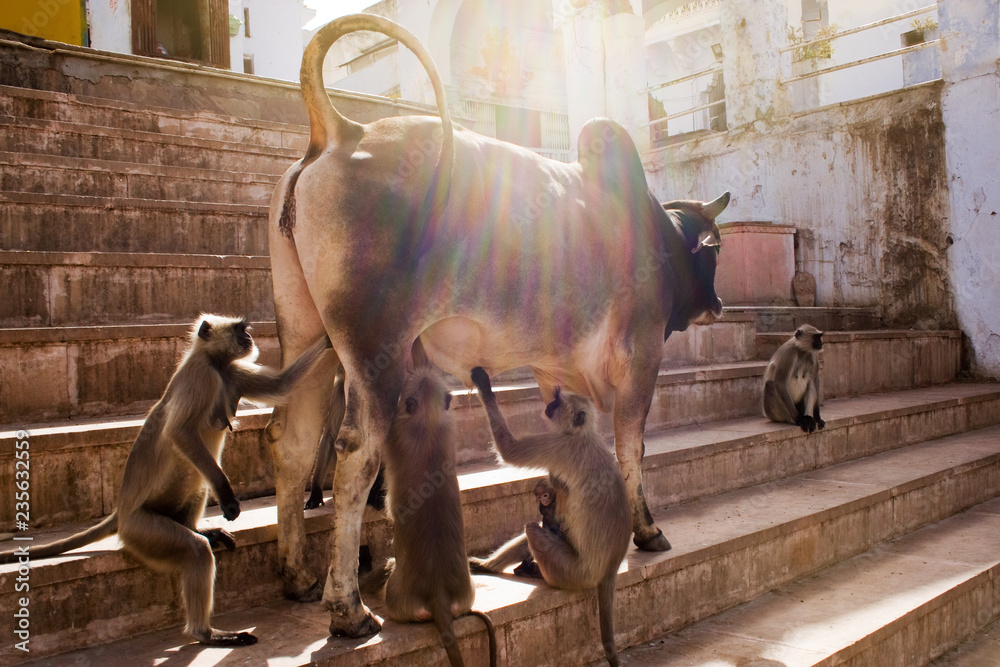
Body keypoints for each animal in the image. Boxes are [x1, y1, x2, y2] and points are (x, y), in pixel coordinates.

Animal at [0, 314, 330, 646]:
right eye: (239, 330)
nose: (249, 338)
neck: (214, 363)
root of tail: (121, 512)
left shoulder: (232, 373)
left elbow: (282, 384)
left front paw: (328, 340)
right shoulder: (202, 377)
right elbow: (179, 432)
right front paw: (228, 498)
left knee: (198, 486)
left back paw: (197, 529)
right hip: (142, 529)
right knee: (195, 550)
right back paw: (206, 632)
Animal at [468, 367, 631, 667]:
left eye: (556, 402)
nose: (548, 405)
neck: (582, 435)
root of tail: (610, 569)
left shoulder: (561, 447)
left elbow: (510, 451)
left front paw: (484, 384)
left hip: (572, 573)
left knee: (533, 529)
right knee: (535, 529)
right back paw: (488, 567)